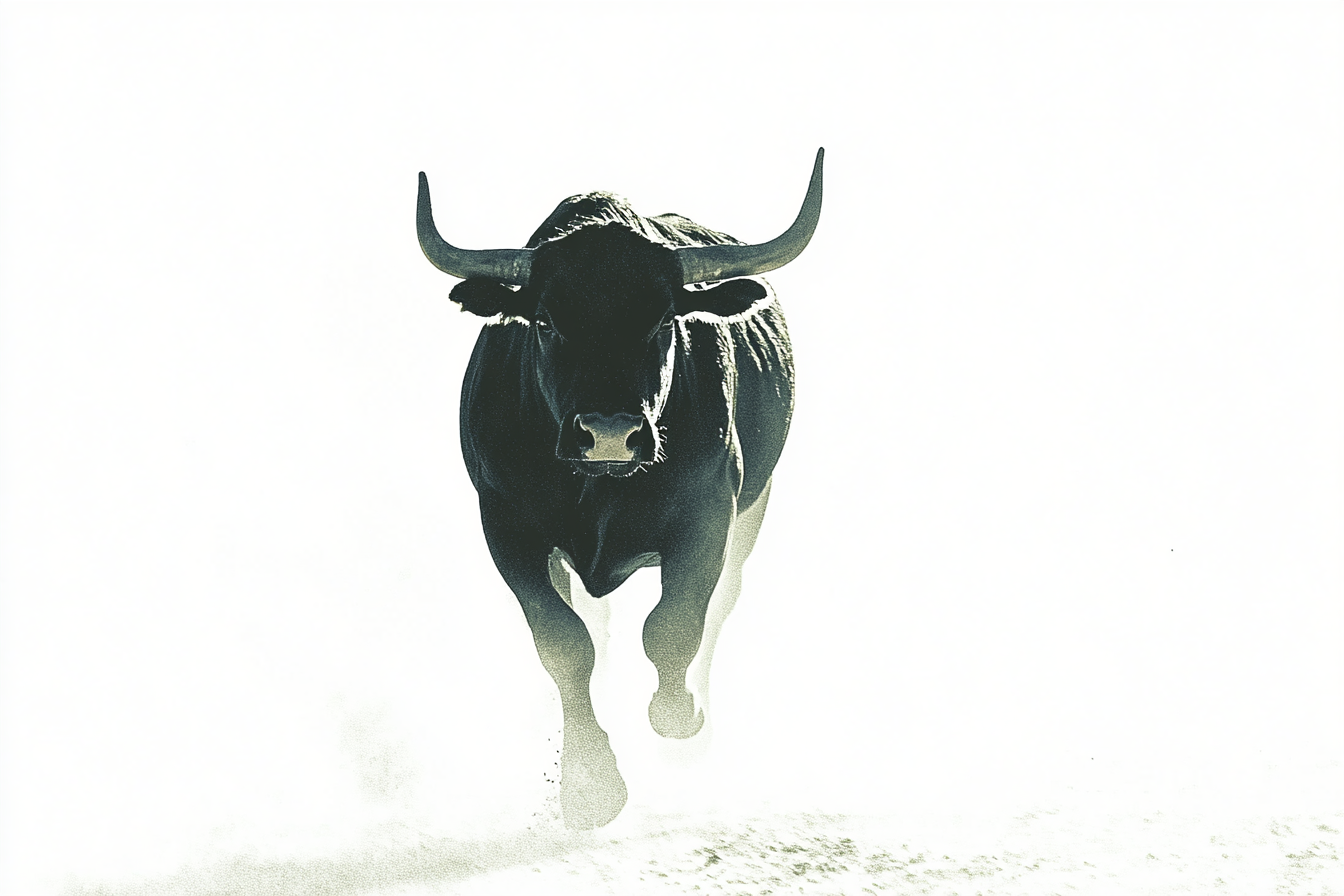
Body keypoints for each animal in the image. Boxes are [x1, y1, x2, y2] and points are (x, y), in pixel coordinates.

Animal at [416, 150, 822, 829]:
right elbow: (564, 643)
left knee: (722, 603)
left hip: (753, 512)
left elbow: (674, 626)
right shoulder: (508, 528)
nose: (610, 432)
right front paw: (589, 783)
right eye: (546, 321)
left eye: (661, 319)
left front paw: (679, 715)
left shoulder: (707, 520)